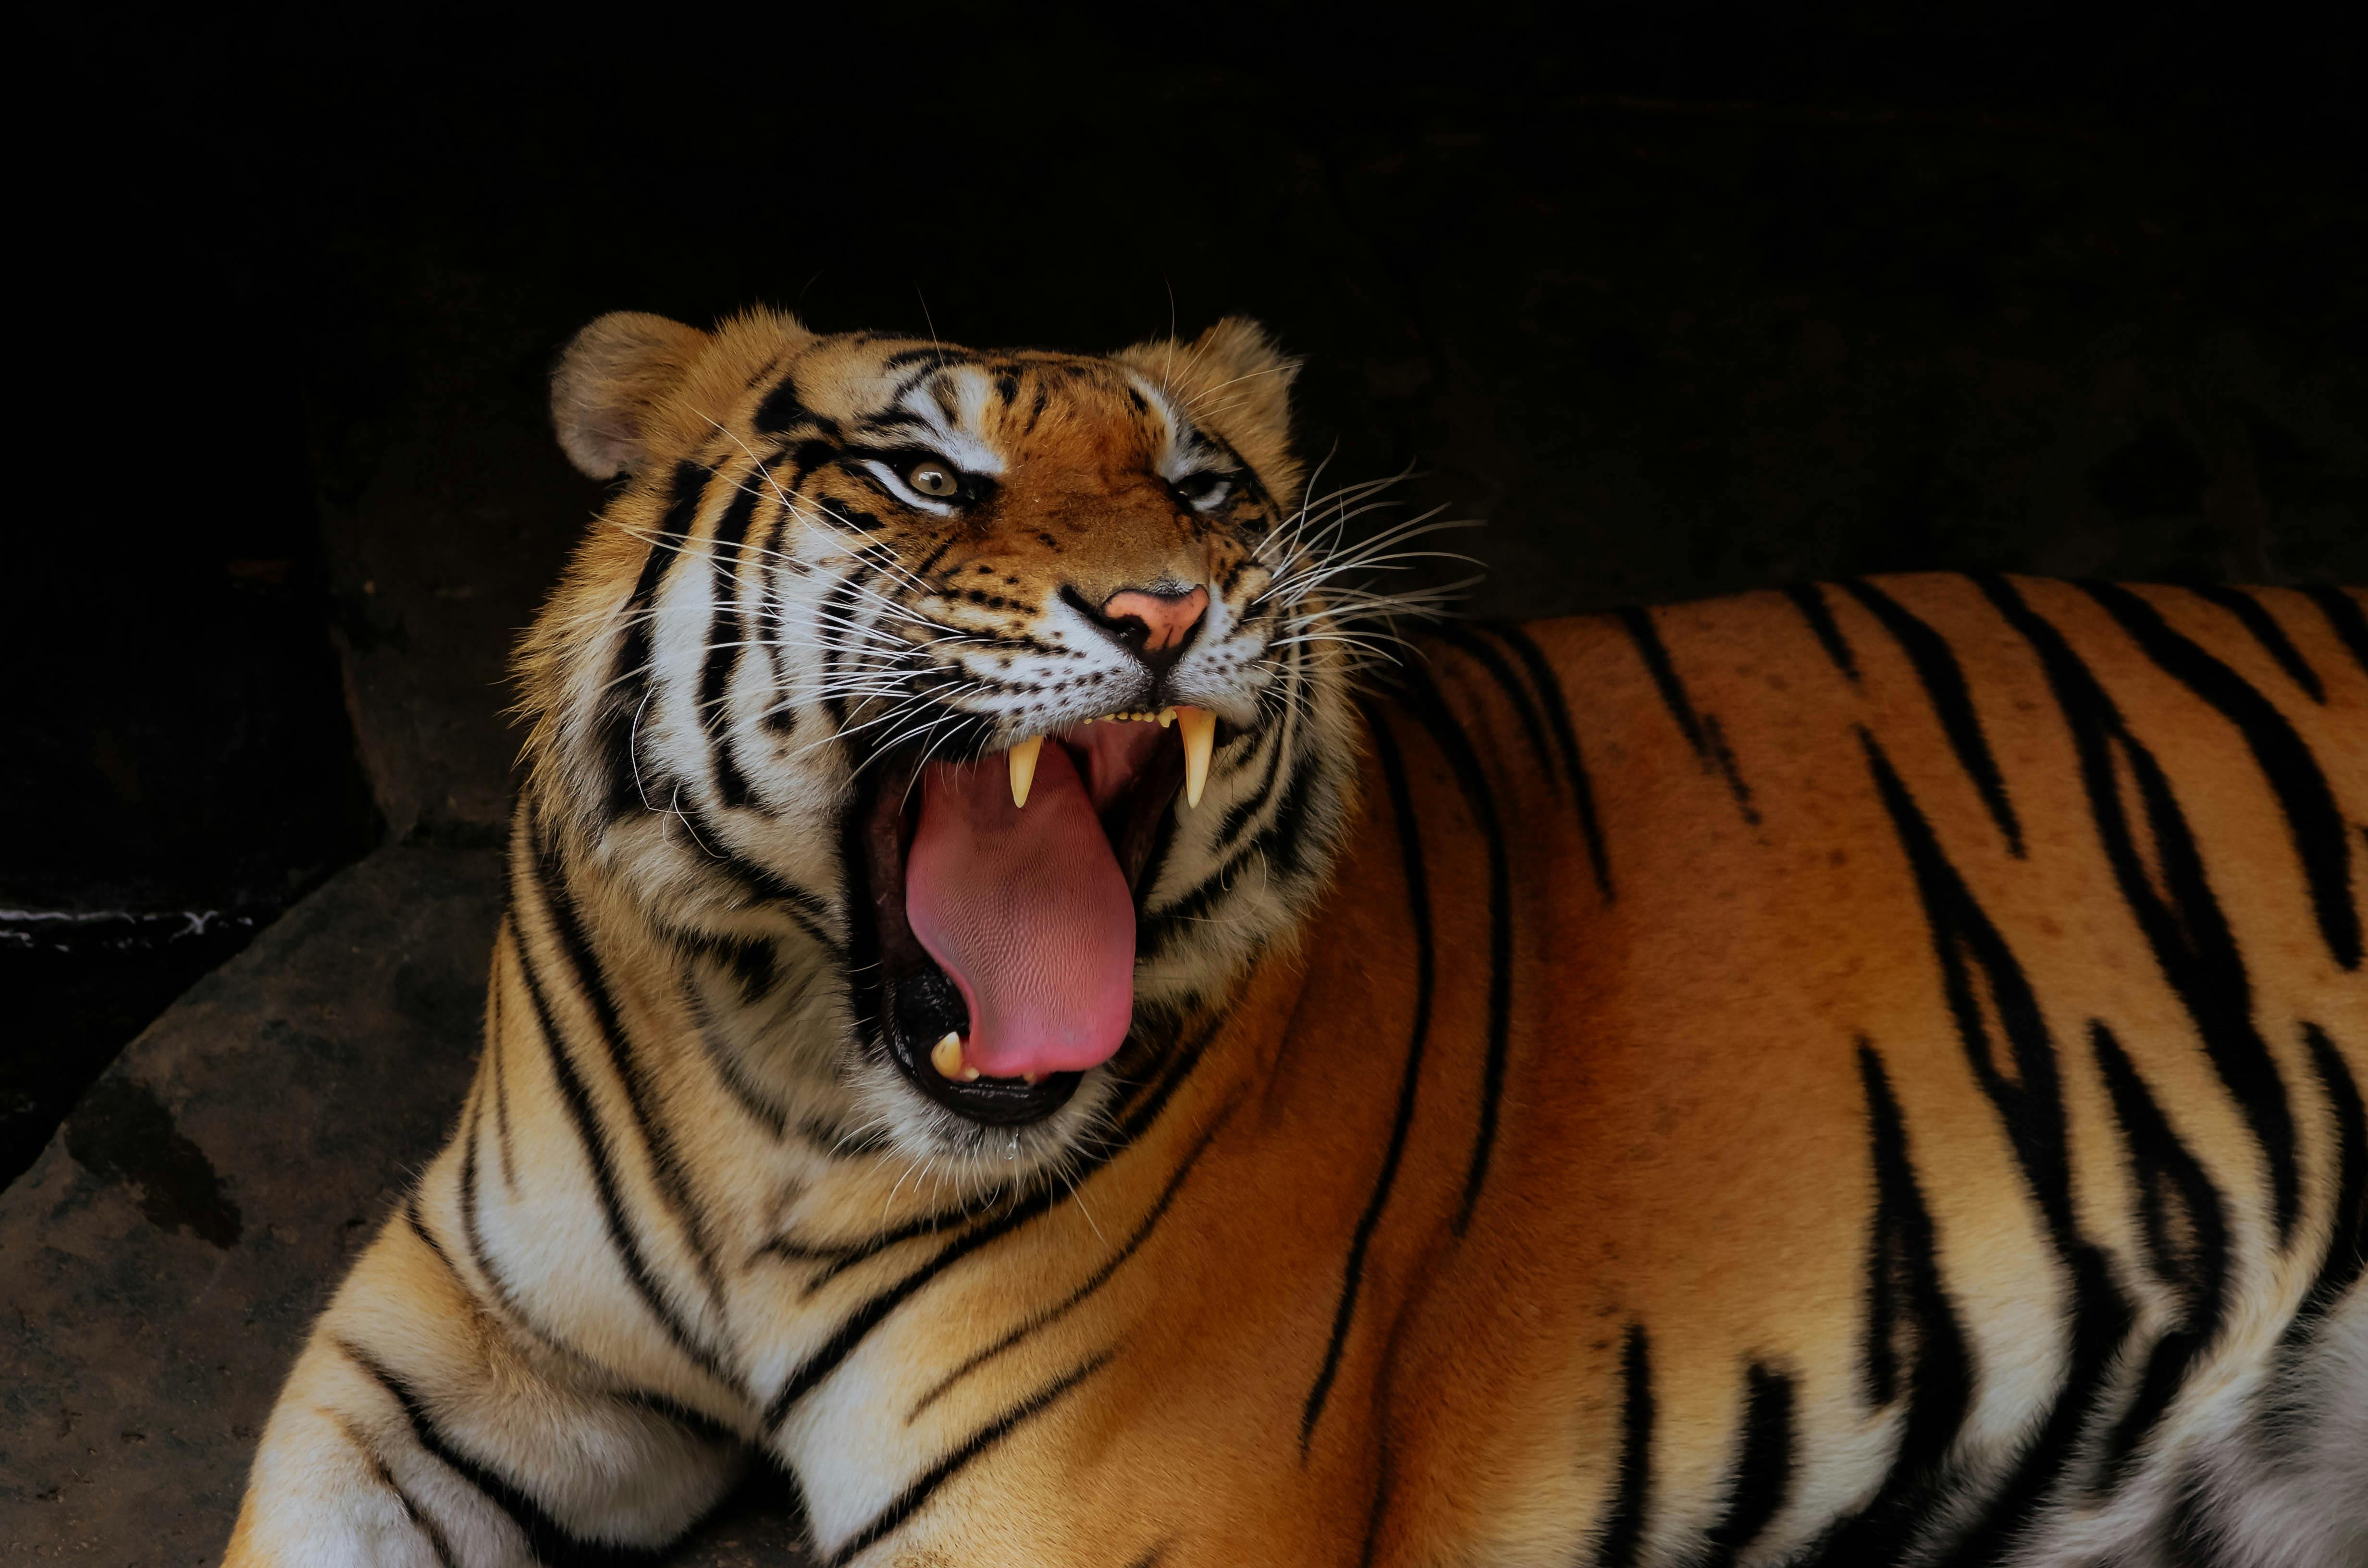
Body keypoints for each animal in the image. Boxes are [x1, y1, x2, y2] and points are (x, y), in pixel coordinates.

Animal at [226, 305, 2368, 1568]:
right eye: (924, 473)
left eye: (1200, 487)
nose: (1169, 608)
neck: (779, 1091)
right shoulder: (450, 1353)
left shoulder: (1091, 1514)